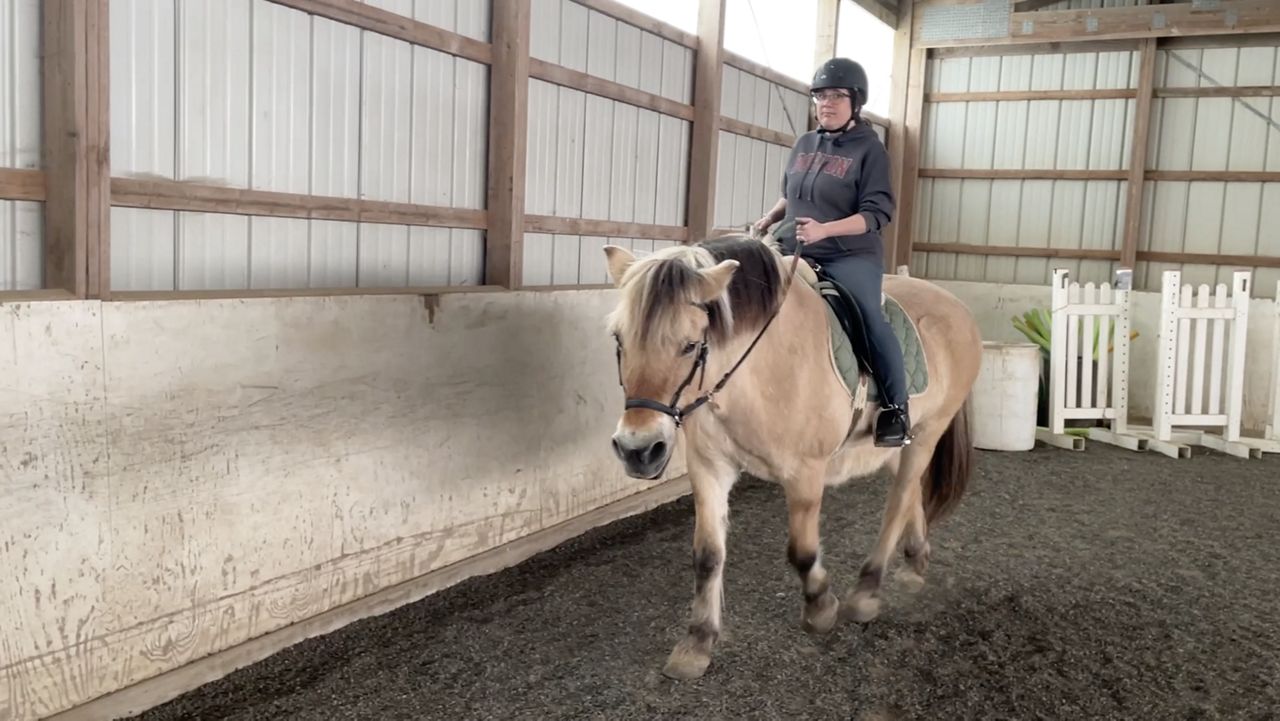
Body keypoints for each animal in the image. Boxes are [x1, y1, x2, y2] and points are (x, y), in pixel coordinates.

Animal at [601, 230, 984, 680]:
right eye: (618, 340)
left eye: (690, 345)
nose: (638, 450)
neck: (756, 369)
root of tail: (955, 305)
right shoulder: (709, 467)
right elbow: (707, 555)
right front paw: (697, 642)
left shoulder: (805, 472)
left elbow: (801, 551)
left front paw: (821, 607)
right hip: (897, 445)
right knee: (911, 496)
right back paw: (914, 563)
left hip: (928, 432)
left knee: (899, 501)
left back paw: (867, 590)